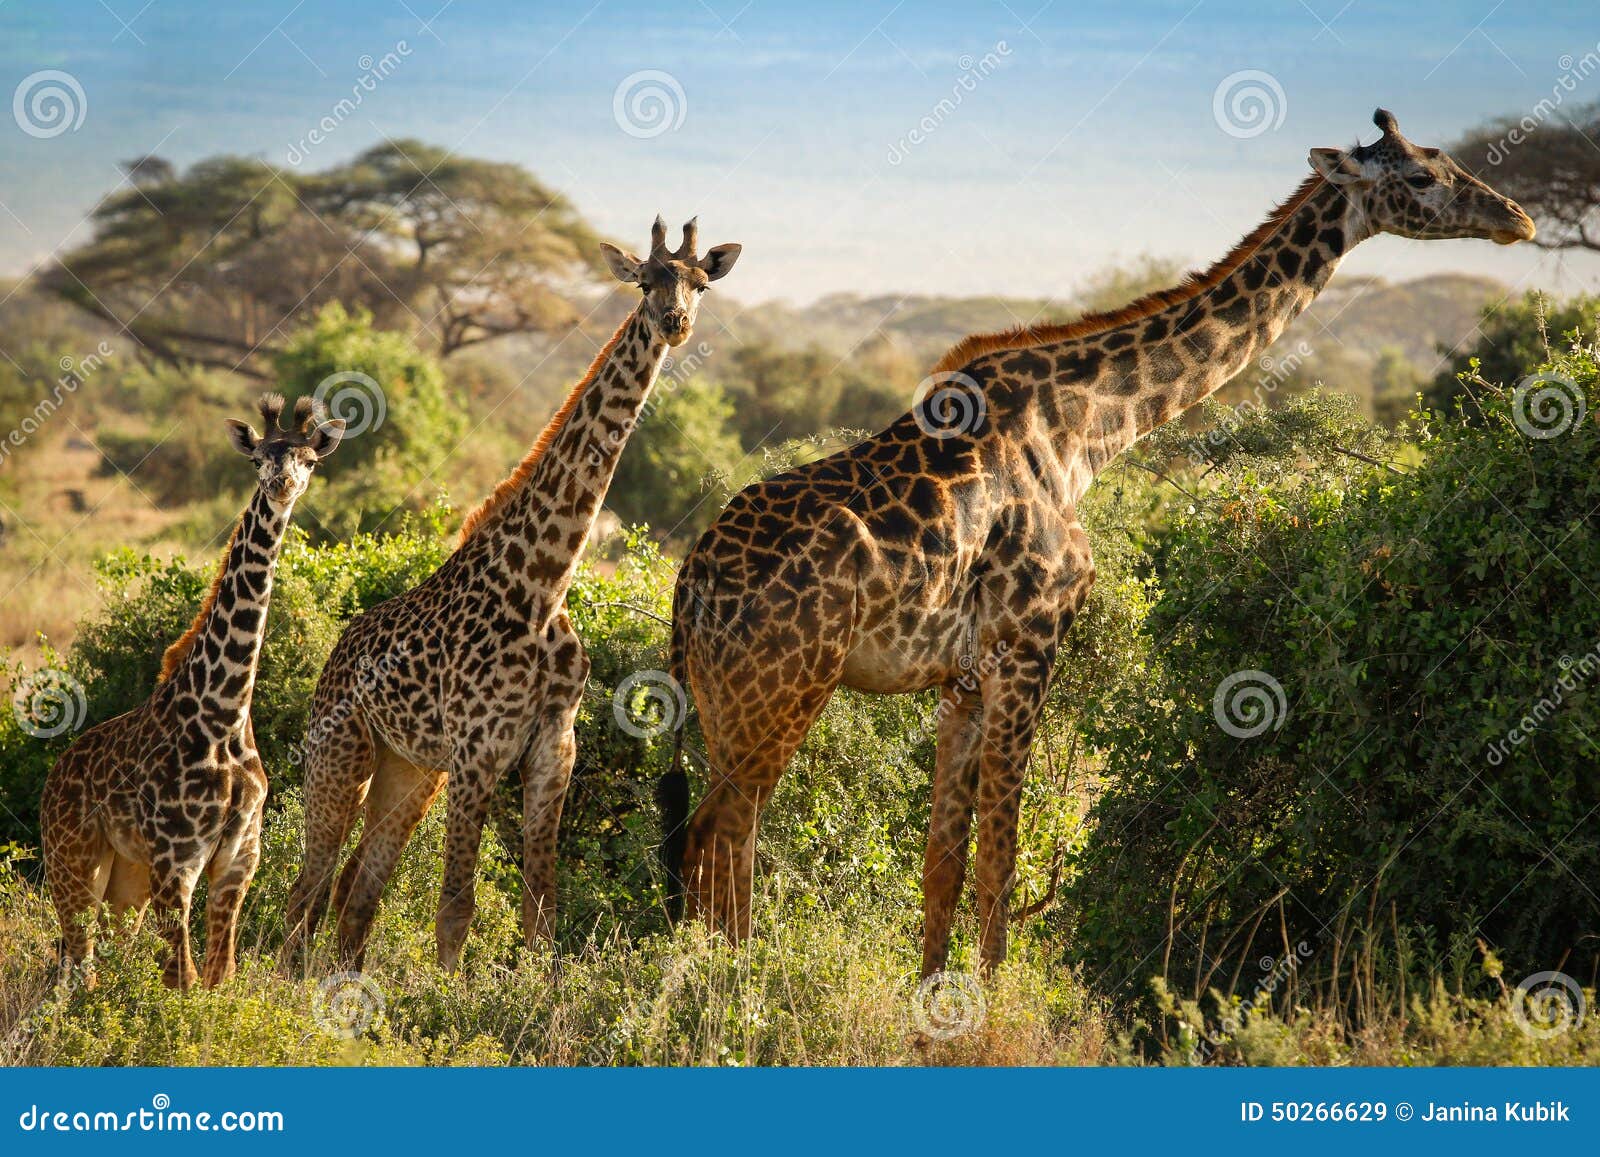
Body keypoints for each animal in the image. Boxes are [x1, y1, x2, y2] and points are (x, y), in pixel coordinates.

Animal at [41, 396, 343, 989]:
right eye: (259, 458)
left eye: (309, 460)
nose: (282, 483)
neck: (224, 713)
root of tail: (52, 779)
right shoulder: (177, 859)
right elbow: (181, 980)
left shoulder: (238, 858)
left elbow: (218, 975)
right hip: (74, 864)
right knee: (79, 966)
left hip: (126, 876)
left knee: (97, 960)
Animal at [281, 218, 740, 972]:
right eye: (647, 281)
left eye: (701, 283)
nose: (675, 323)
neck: (544, 585)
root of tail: (334, 656)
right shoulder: (477, 750)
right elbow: (456, 909)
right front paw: (447, 995)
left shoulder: (553, 749)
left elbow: (541, 910)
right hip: (340, 758)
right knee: (306, 891)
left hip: (408, 772)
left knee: (356, 894)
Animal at [660, 110, 1535, 977]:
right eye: (1420, 175)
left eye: (1447, 160)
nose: (1517, 219)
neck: (1086, 429)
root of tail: (688, 587)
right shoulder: (1029, 642)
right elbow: (1001, 855)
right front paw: (989, 995)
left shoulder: (961, 676)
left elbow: (943, 861)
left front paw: (932, 989)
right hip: (787, 687)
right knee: (721, 835)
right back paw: (732, 987)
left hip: (724, 703)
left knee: (714, 841)